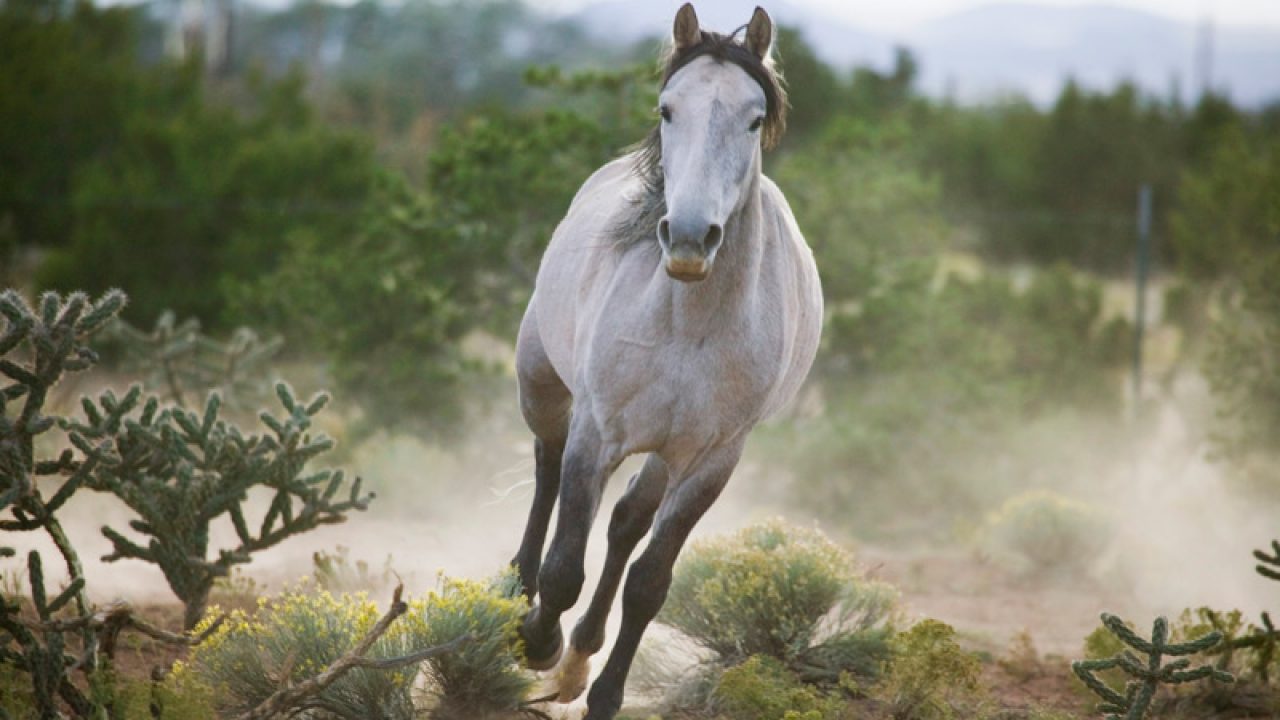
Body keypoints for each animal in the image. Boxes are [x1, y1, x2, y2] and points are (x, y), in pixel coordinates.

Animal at [509, 4, 822, 718]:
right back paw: (518, 595)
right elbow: (565, 566)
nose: (687, 238)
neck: (688, 319)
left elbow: (650, 581)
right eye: (667, 109)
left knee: (628, 520)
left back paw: (581, 653)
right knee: (545, 471)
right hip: (541, 383)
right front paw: (538, 643)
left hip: (663, 449)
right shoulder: (597, 433)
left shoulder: (711, 460)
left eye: (754, 118)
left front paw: (601, 691)